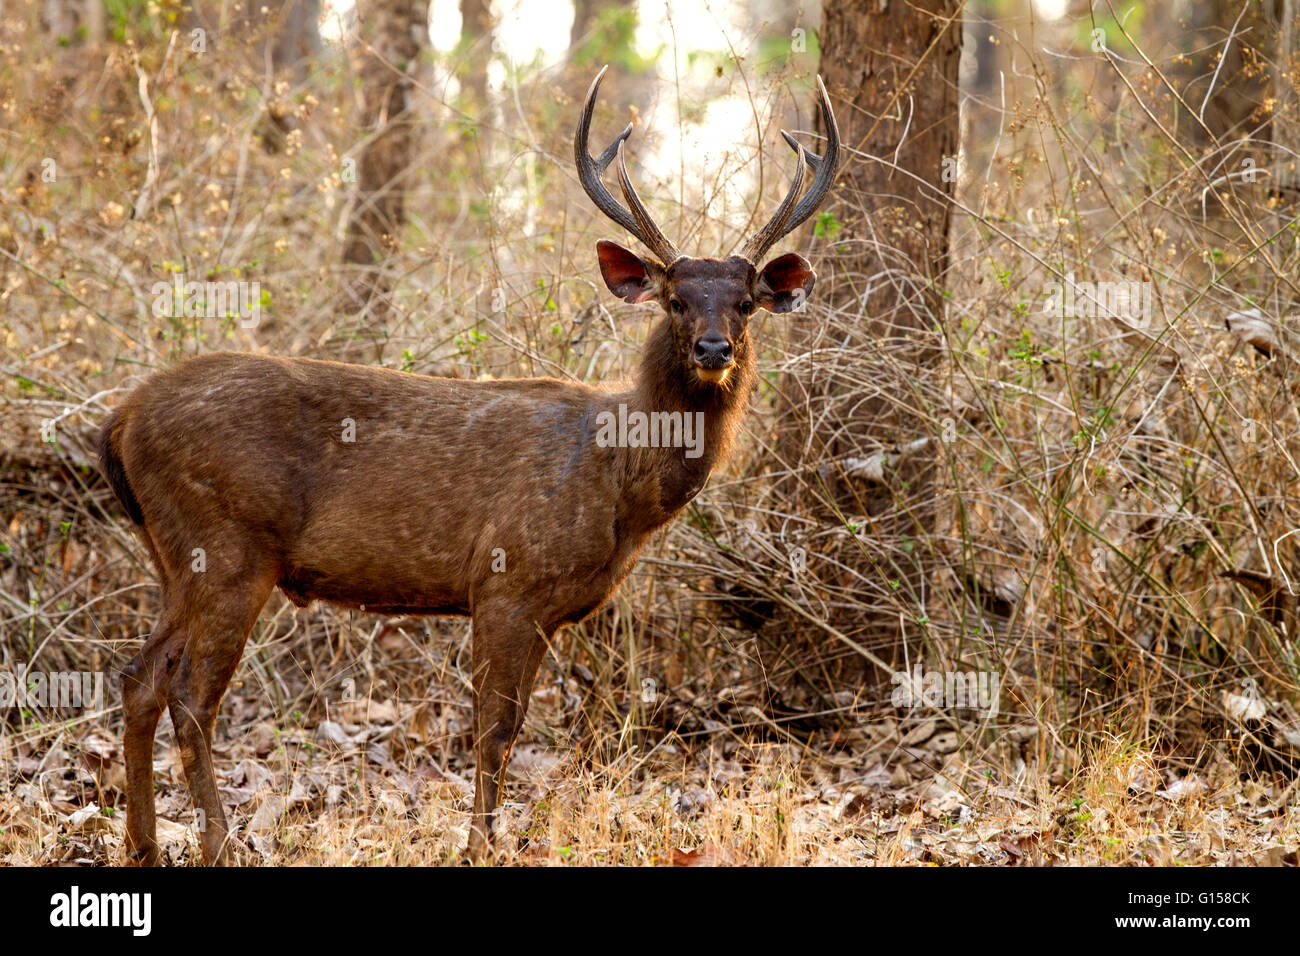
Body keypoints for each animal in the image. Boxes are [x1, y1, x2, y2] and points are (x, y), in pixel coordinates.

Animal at [97, 67, 839, 865]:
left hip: (176, 556)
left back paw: (142, 844)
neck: (620, 483)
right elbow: (494, 730)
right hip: (228, 544)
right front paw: (480, 845)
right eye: (674, 299)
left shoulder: (547, 610)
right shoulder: (507, 580)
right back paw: (216, 843)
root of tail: (121, 418)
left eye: (746, 303)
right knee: (189, 696)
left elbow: (508, 729)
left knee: (138, 676)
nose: (712, 349)